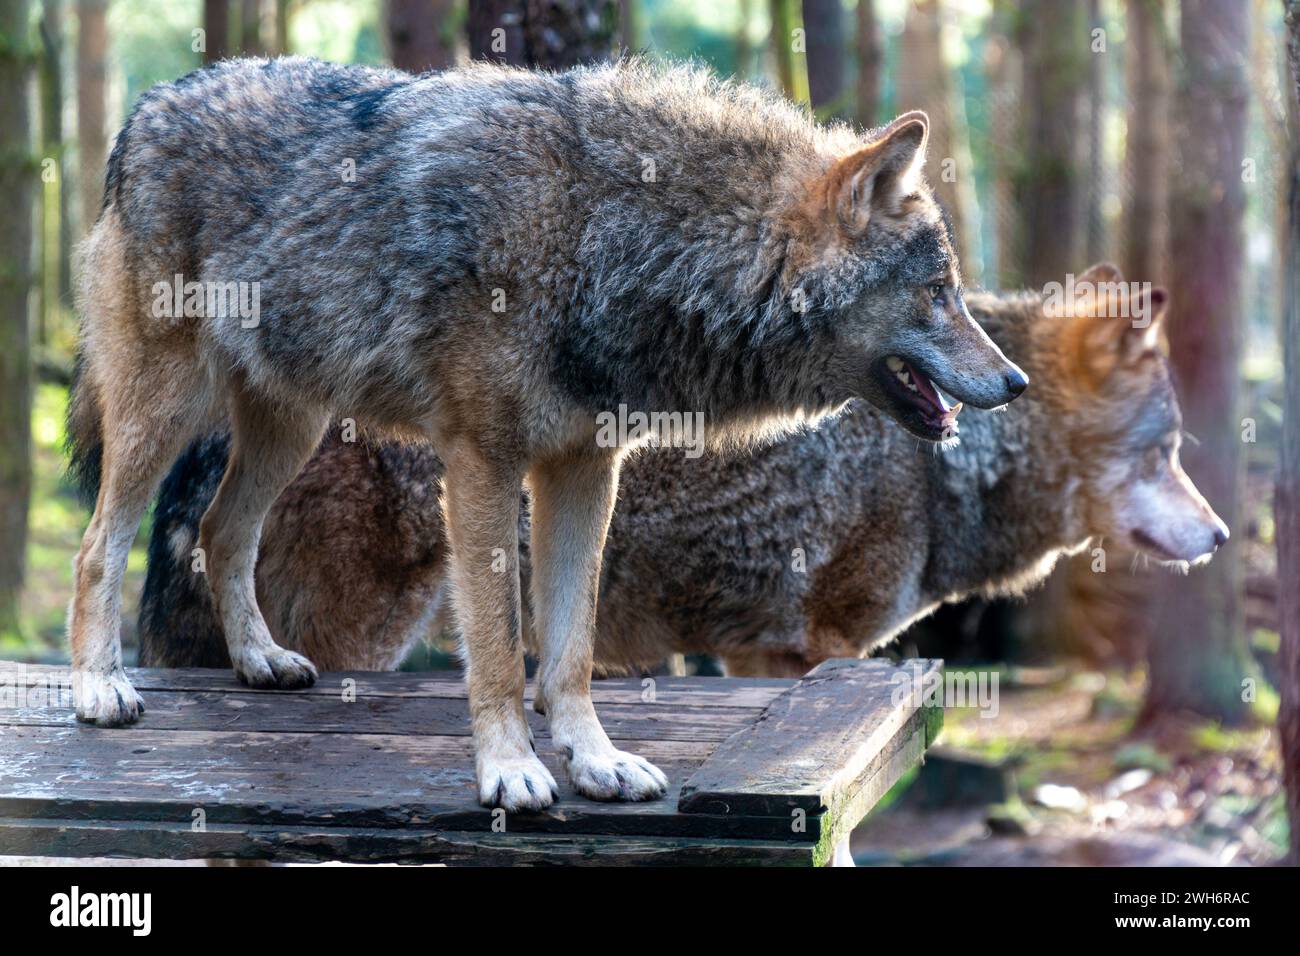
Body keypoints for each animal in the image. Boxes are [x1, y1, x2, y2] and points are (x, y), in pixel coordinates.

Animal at [68, 56, 1027, 811]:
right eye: (939, 293)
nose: (1016, 382)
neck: (615, 236)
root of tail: (149, 103)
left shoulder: (583, 467)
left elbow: (569, 649)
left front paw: (595, 761)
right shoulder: (482, 463)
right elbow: (499, 648)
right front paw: (510, 772)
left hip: (290, 426)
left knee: (222, 531)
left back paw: (259, 662)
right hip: (165, 411)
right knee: (97, 545)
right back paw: (99, 688)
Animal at [137, 265, 1227, 683]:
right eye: (1167, 454)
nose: (1220, 535)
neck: (941, 464)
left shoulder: (757, 655)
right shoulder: (814, 649)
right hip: (357, 642)